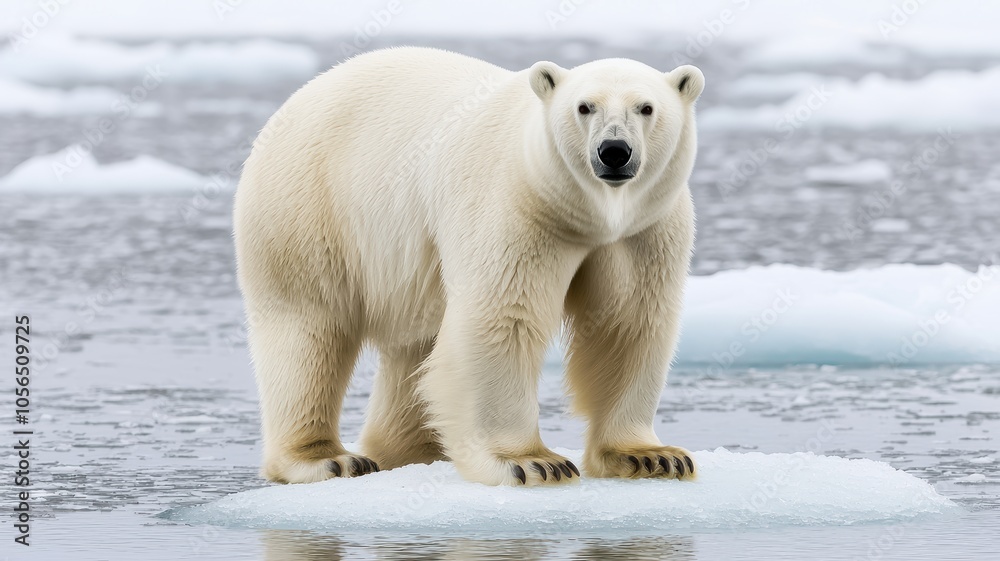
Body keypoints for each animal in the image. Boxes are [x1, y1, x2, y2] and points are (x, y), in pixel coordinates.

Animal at [233, 47, 703, 486]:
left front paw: (652, 457)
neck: (588, 214)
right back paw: (329, 458)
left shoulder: (645, 230)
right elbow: (502, 317)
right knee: (308, 329)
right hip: (309, 207)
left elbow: (630, 323)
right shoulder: (518, 207)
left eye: (646, 107)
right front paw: (532, 462)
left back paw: (410, 450)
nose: (614, 151)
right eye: (584, 107)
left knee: (414, 347)